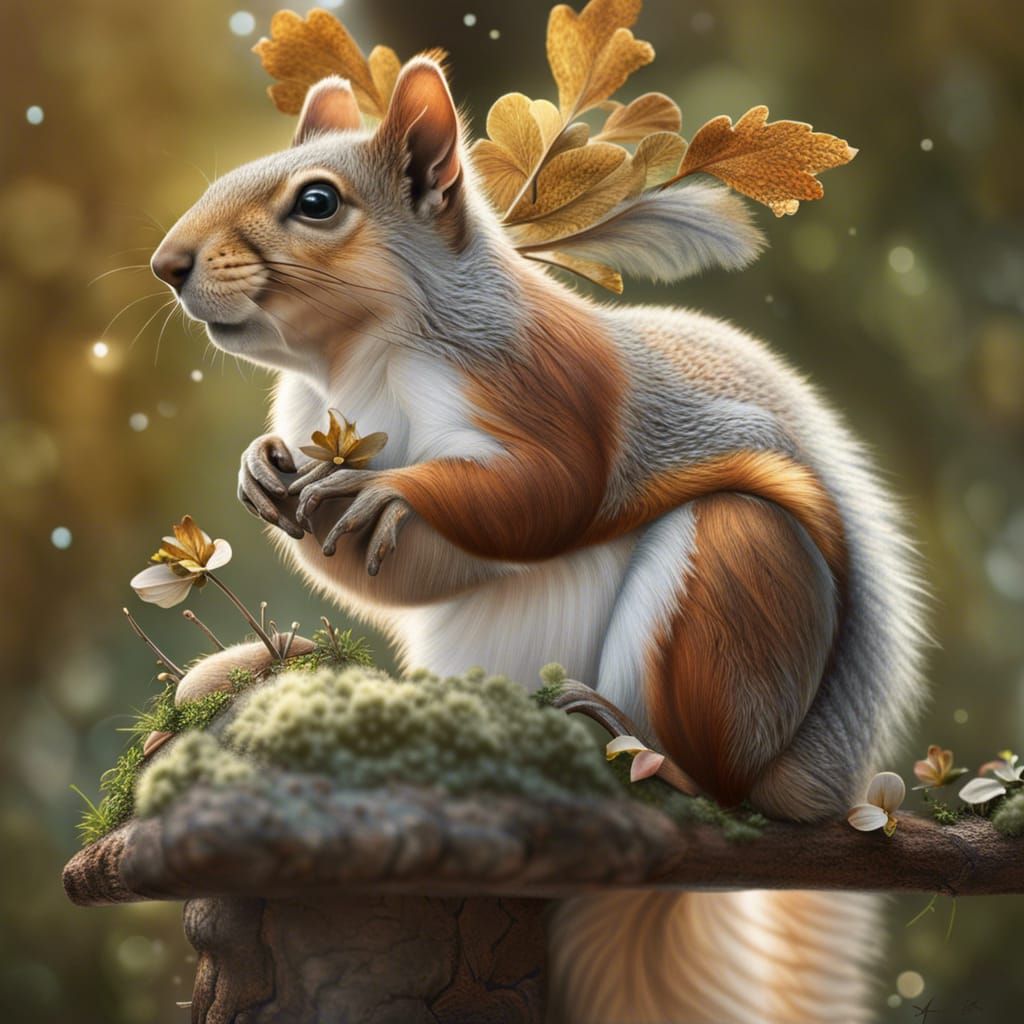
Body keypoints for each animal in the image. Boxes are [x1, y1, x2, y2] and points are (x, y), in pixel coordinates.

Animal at [151, 61, 928, 1024]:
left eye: (319, 203)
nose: (166, 265)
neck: (355, 359)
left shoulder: (548, 385)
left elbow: (551, 492)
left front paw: (388, 489)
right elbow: (385, 570)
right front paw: (262, 466)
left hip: (737, 577)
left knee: (726, 784)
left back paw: (639, 748)